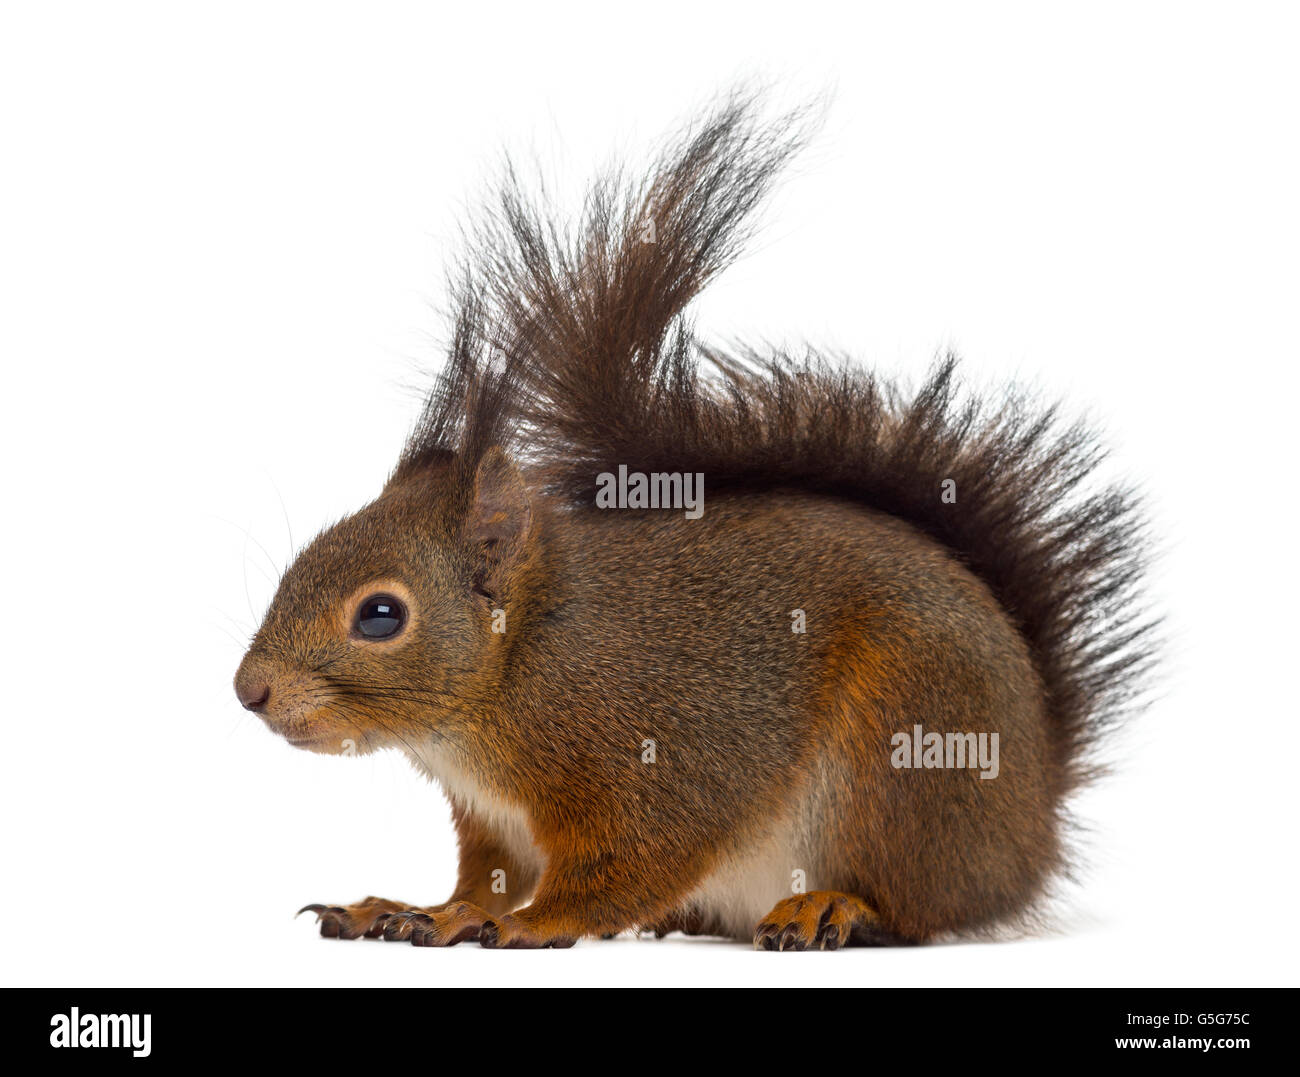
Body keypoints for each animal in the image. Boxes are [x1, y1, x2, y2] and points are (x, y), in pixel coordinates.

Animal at [234, 91, 1155, 950]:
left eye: (380, 614)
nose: (249, 690)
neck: (516, 666)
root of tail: (1033, 827)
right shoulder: (495, 820)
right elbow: (484, 880)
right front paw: (423, 909)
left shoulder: (656, 757)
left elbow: (632, 860)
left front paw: (536, 922)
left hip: (901, 749)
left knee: (910, 904)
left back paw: (832, 905)